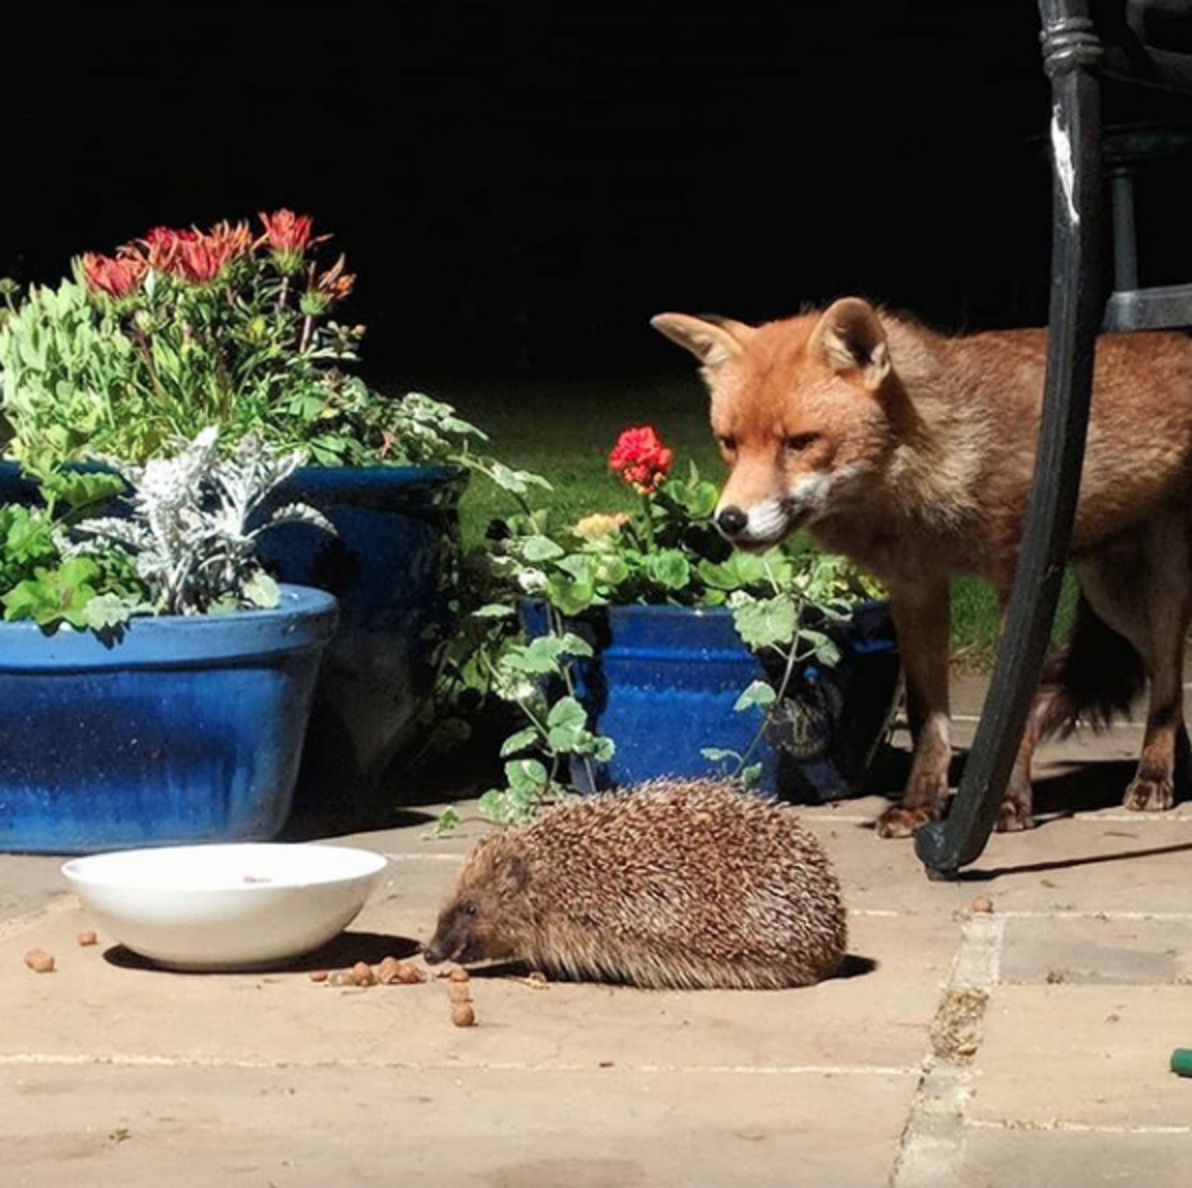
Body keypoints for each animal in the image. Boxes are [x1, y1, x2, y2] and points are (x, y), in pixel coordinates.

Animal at [651, 298, 1192, 837]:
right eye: (729, 442)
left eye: (801, 442)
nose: (729, 520)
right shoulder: (916, 587)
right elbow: (929, 715)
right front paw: (921, 805)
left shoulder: (1019, 582)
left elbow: (1010, 708)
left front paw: (1006, 802)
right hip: (1114, 600)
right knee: (1157, 682)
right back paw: (1176, 764)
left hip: (1159, 592)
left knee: (1167, 678)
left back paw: (1154, 774)